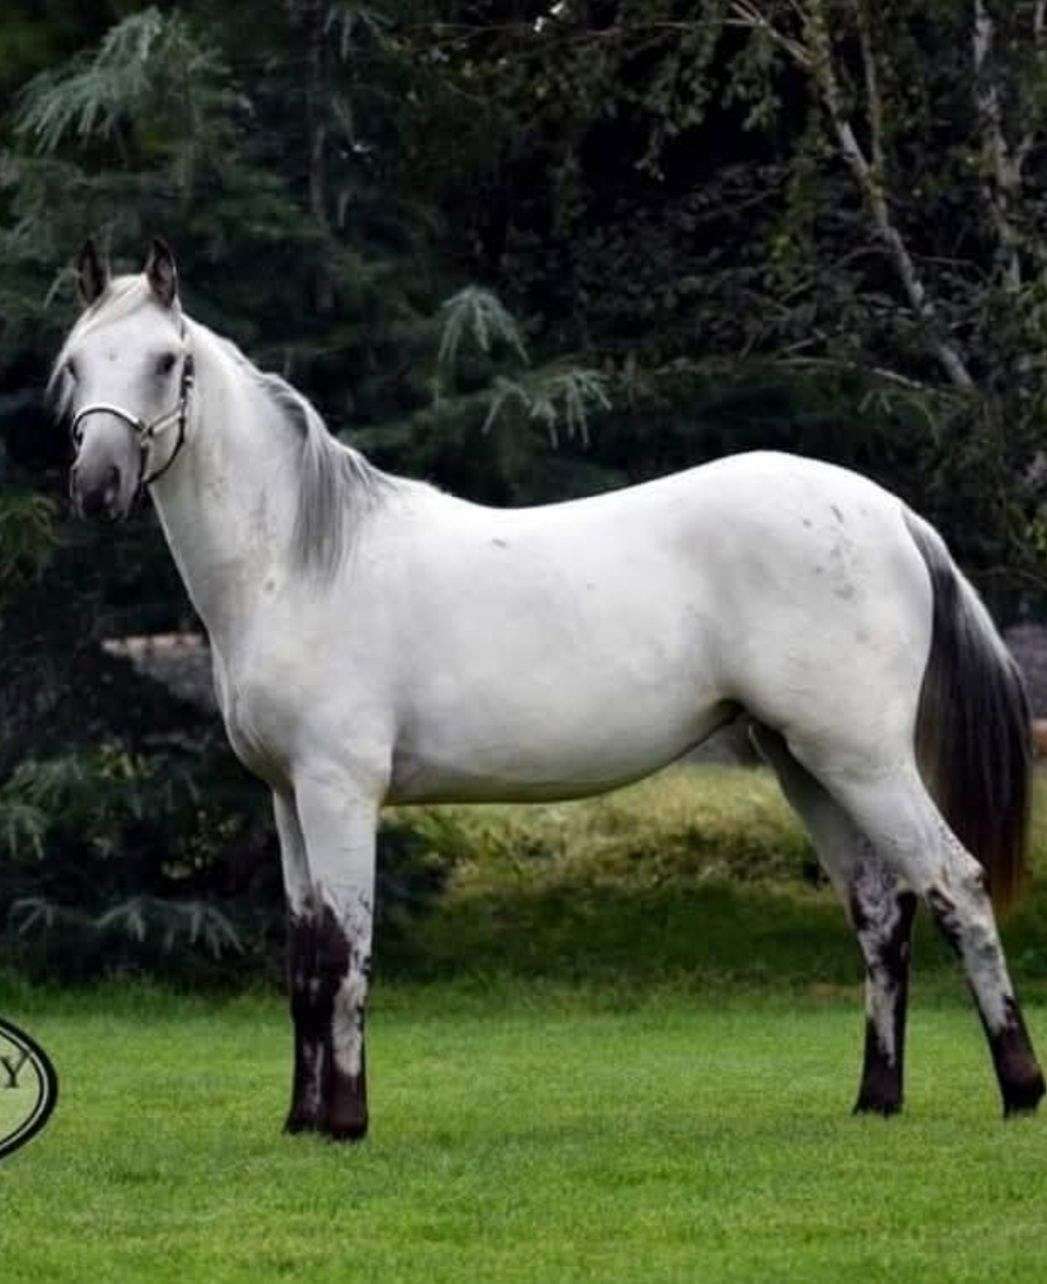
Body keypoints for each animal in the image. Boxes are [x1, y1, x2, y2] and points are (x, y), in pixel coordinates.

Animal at [57, 238, 1044, 1139]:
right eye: (74, 363)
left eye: (167, 361)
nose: (96, 486)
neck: (296, 564)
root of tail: (894, 515)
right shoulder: (287, 798)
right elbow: (304, 959)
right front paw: (302, 1120)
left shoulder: (340, 792)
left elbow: (345, 952)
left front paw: (344, 1119)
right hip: (805, 763)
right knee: (879, 913)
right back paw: (875, 1100)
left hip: (863, 758)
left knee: (954, 885)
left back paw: (1018, 1090)